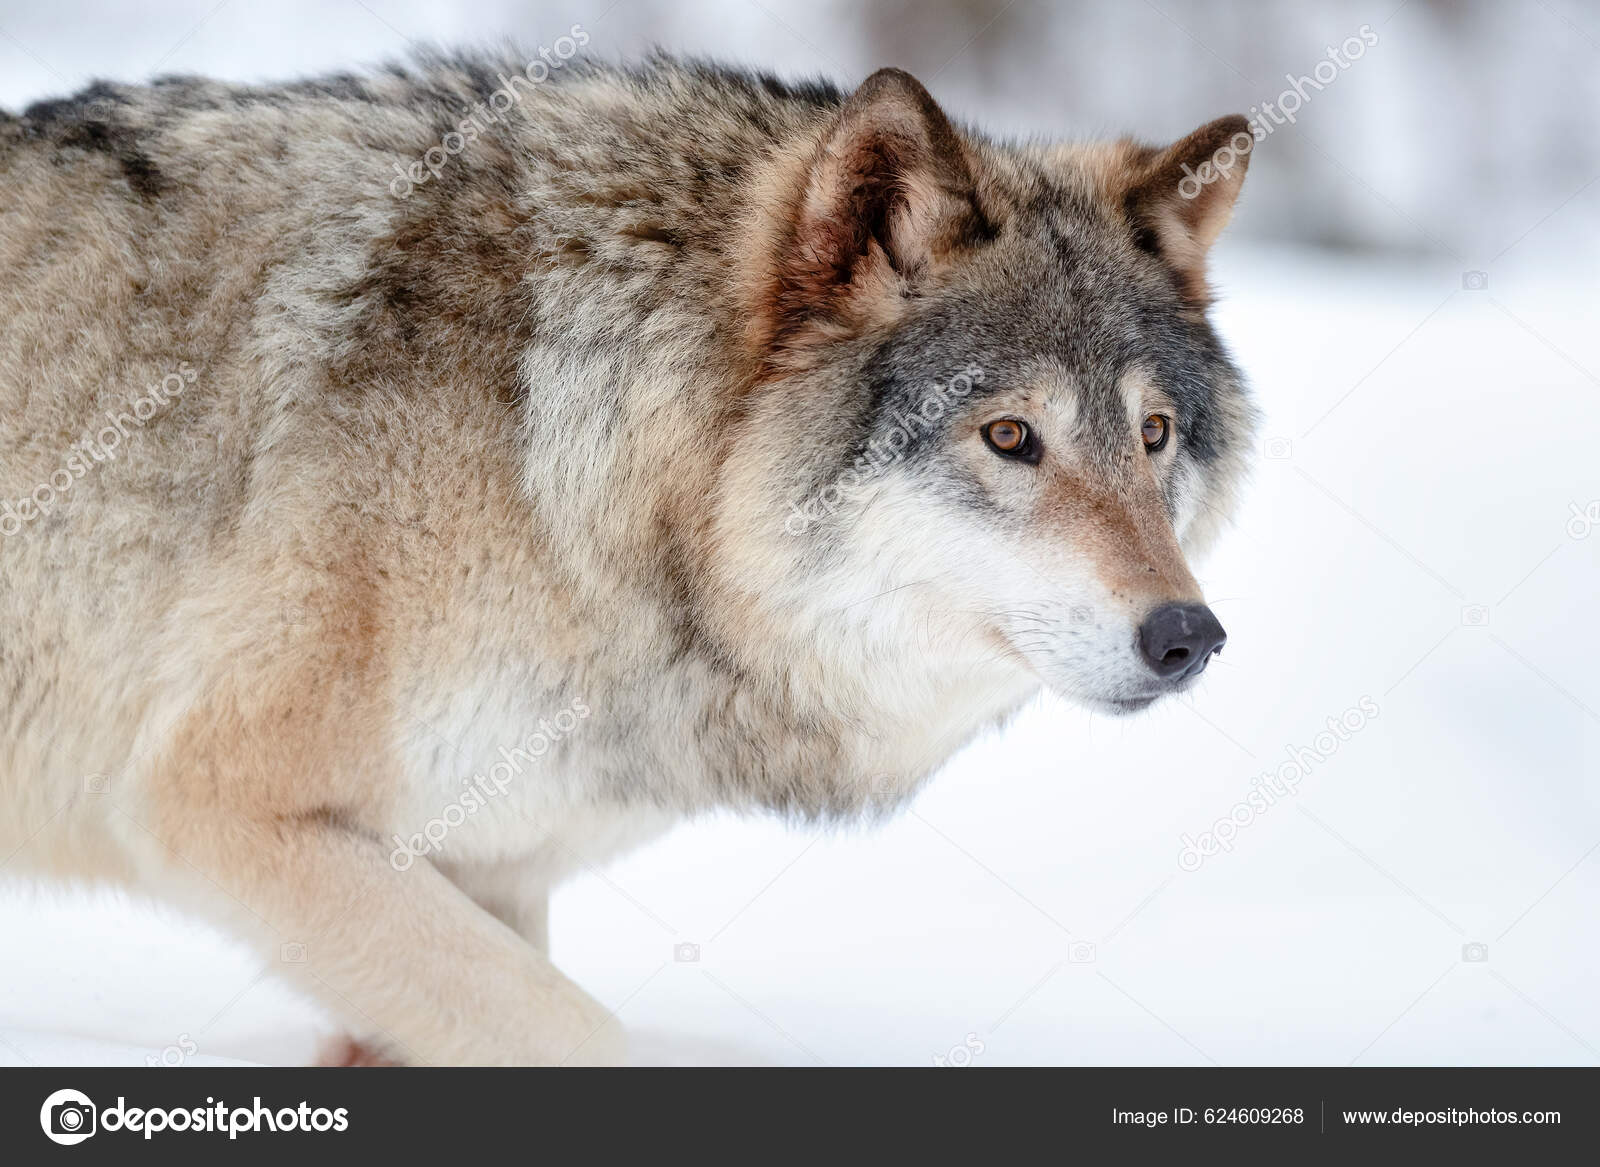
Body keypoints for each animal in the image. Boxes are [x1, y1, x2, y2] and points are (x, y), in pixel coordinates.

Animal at [0, 49, 1254, 1065]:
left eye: (1153, 435)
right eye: (1009, 436)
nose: (1188, 639)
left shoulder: (484, 871)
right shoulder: (219, 807)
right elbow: (577, 1034)